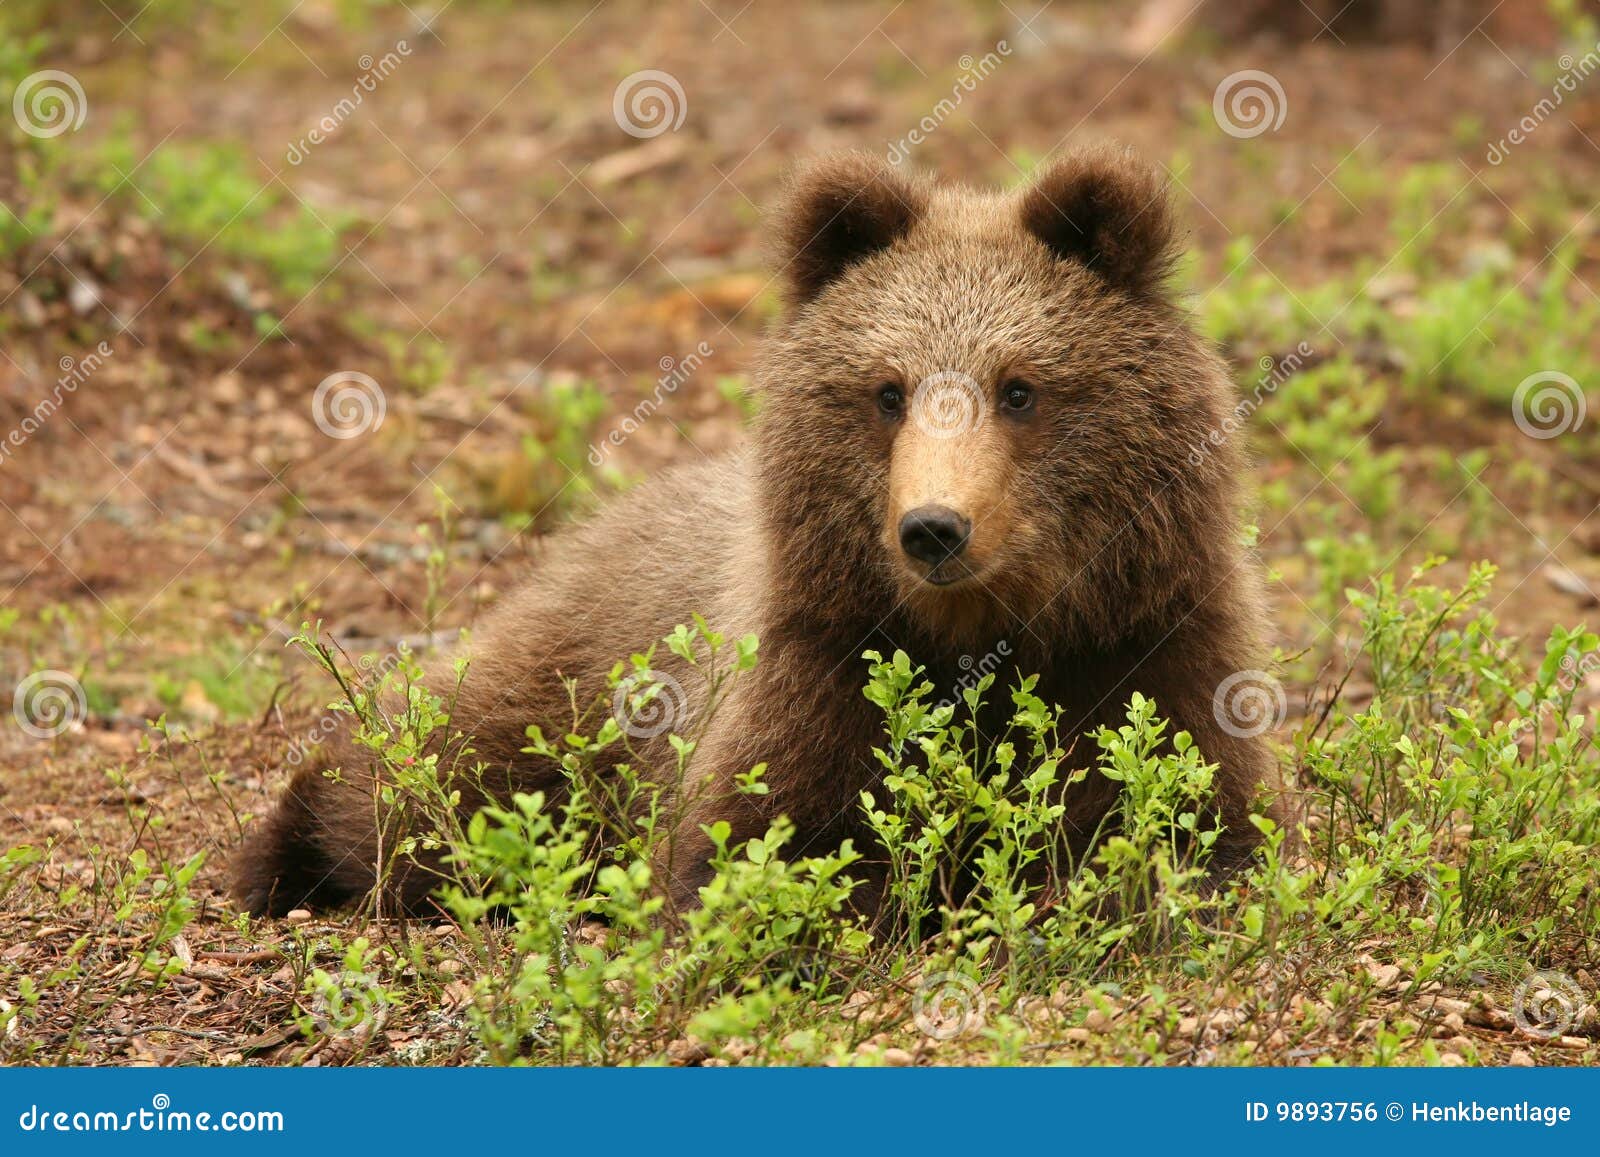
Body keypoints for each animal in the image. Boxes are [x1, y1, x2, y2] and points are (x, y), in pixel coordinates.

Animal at [233, 143, 1279, 920]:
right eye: (887, 390)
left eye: (1020, 388)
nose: (934, 529)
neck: (986, 634)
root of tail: (589, 528)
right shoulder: (821, 660)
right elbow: (758, 844)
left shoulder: (1149, 648)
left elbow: (1200, 832)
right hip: (572, 680)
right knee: (423, 786)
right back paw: (286, 856)